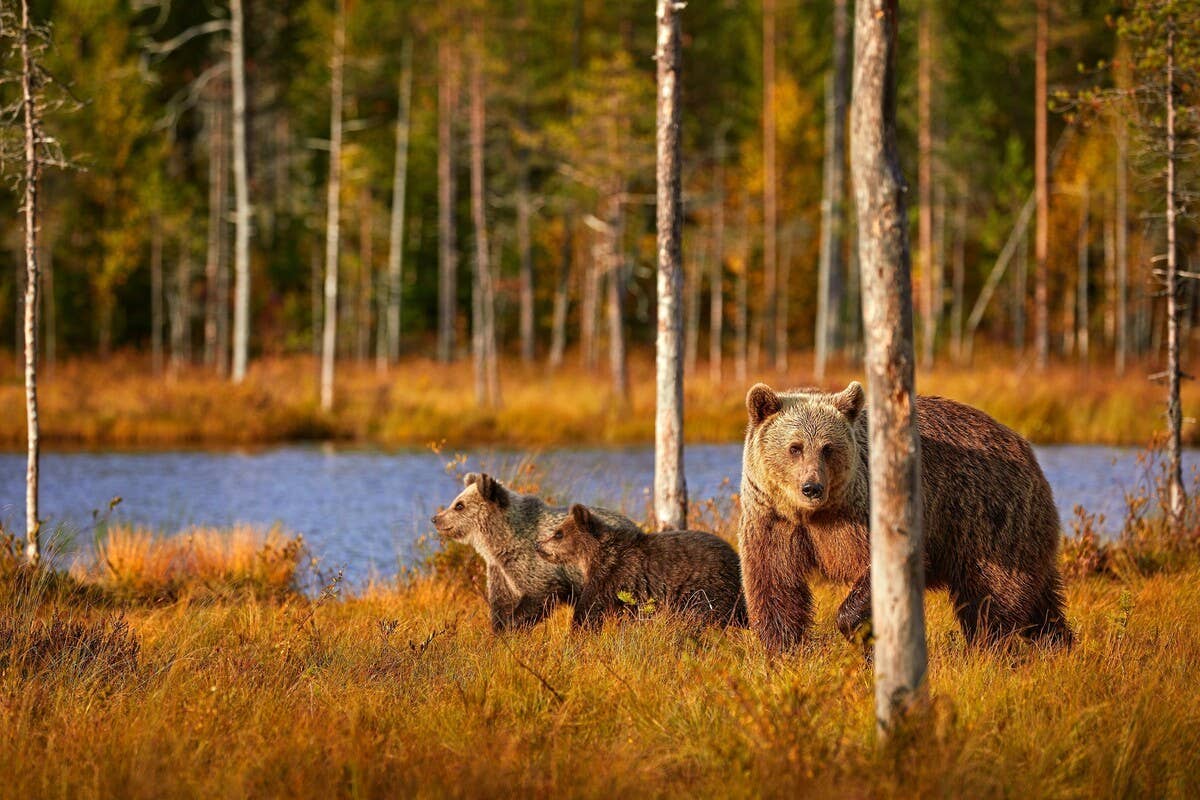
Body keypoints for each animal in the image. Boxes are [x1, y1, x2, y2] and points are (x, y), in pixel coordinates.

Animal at [431, 473, 640, 631]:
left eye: (459, 505)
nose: (435, 518)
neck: (500, 542)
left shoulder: (537, 566)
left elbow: (539, 596)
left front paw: (512, 626)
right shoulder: (500, 572)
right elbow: (500, 605)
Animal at [535, 503, 749, 629]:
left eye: (558, 533)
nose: (538, 545)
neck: (594, 557)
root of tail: (735, 556)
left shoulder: (612, 576)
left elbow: (589, 609)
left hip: (706, 588)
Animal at [738, 380, 1073, 652]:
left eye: (827, 447)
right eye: (794, 447)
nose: (812, 487)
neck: (818, 514)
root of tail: (1023, 445)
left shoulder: (866, 513)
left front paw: (856, 629)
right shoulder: (773, 520)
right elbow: (774, 581)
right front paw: (782, 648)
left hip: (990, 519)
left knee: (992, 596)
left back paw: (988, 647)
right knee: (1040, 602)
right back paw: (1057, 644)